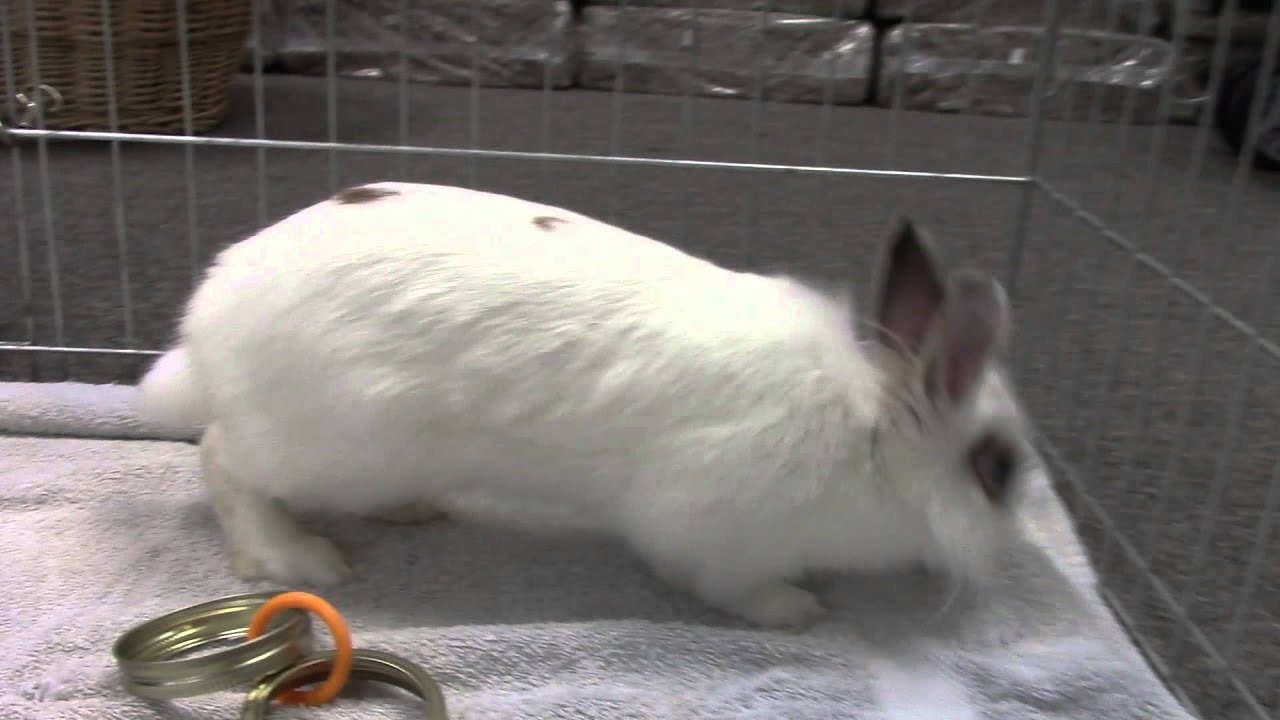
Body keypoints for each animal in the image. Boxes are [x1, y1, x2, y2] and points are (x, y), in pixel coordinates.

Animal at [137, 181, 1036, 628]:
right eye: (997, 469)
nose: (1018, 543)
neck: (870, 434)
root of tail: (208, 320)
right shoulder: (712, 531)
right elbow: (720, 584)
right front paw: (797, 610)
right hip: (333, 448)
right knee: (221, 457)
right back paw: (296, 557)